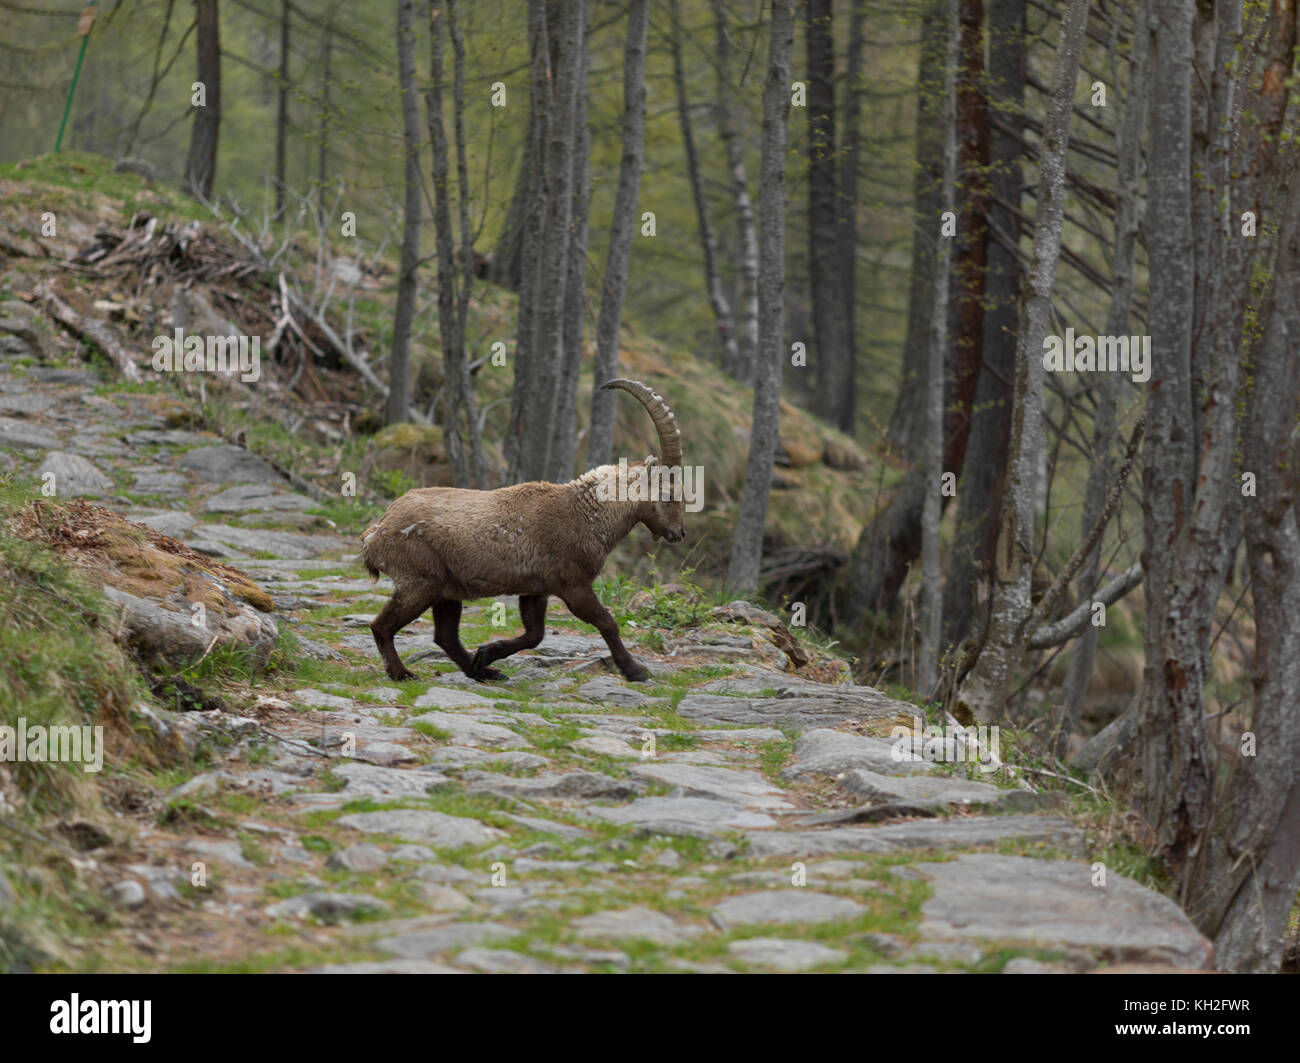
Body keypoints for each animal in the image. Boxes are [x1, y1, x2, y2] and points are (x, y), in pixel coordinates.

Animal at [360, 379, 687, 683]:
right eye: (669, 493)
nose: (679, 533)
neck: (588, 513)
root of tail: (376, 532)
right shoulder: (574, 585)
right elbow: (606, 621)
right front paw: (634, 670)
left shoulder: (535, 588)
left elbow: (535, 634)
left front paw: (486, 653)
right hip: (420, 582)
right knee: (383, 625)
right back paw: (402, 673)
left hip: (445, 589)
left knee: (445, 635)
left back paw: (483, 671)